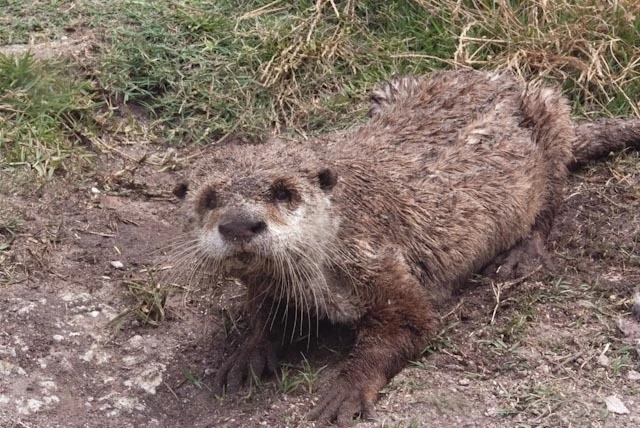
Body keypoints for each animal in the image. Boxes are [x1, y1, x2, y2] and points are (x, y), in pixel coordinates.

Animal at [175, 69, 640, 426]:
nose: (240, 224)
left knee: (551, 198)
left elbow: (410, 323)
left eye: (283, 192)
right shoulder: (272, 282)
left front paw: (348, 388)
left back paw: (522, 254)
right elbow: (266, 315)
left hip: (549, 115)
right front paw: (247, 353)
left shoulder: (378, 261)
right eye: (209, 198)